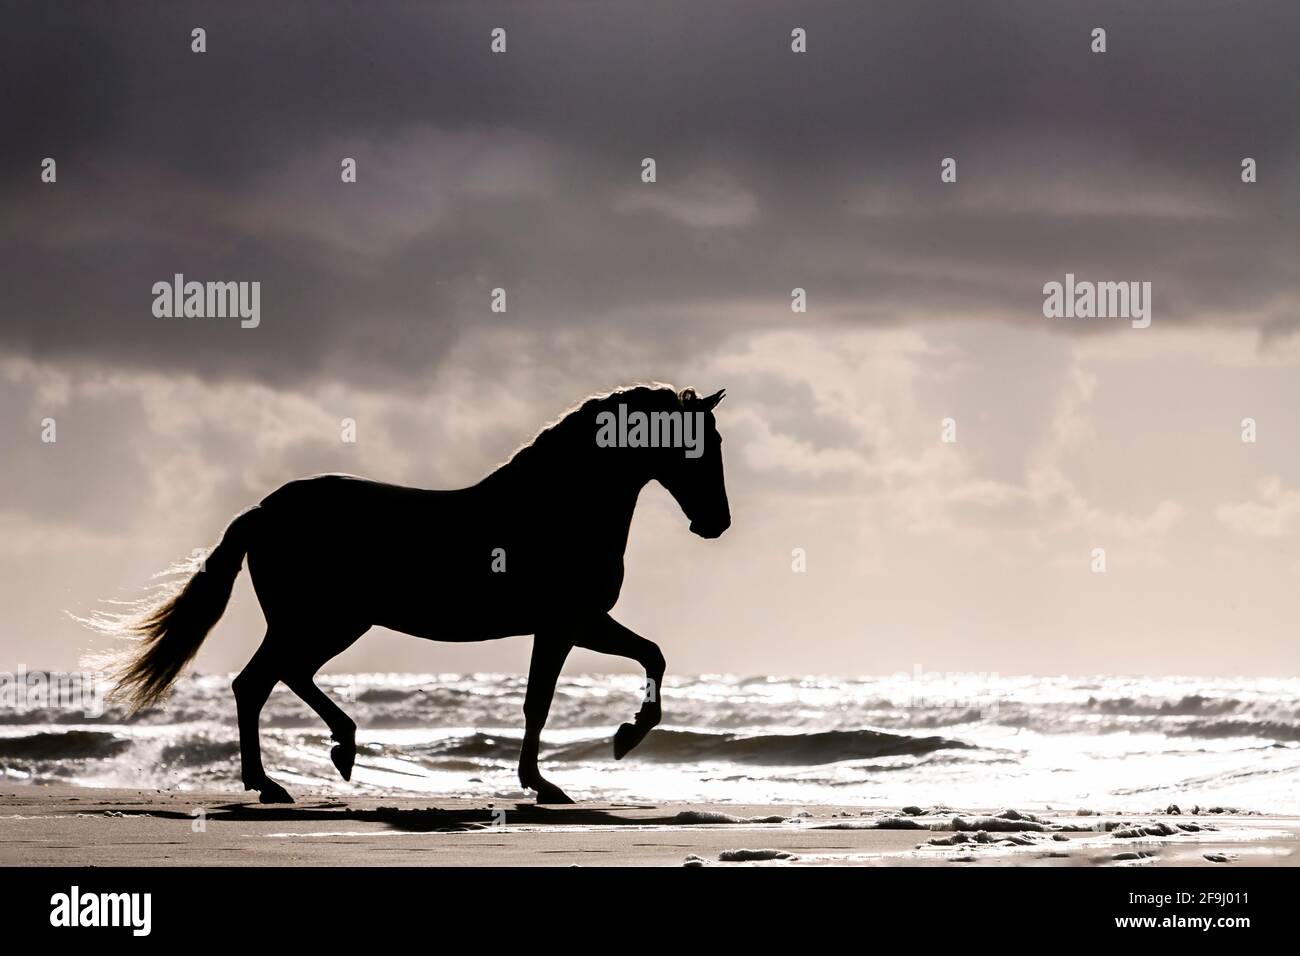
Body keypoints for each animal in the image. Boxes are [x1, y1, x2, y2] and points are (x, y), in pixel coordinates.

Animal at [104, 384, 730, 804]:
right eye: (694, 444)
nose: (716, 523)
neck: (557, 508)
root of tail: (265, 510)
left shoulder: (570, 625)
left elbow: (635, 662)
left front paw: (586, 756)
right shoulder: (569, 623)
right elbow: (558, 694)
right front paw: (577, 765)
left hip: (330, 623)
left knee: (281, 677)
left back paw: (337, 750)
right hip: (321, 621)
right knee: (257, 682)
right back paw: (275, 781)